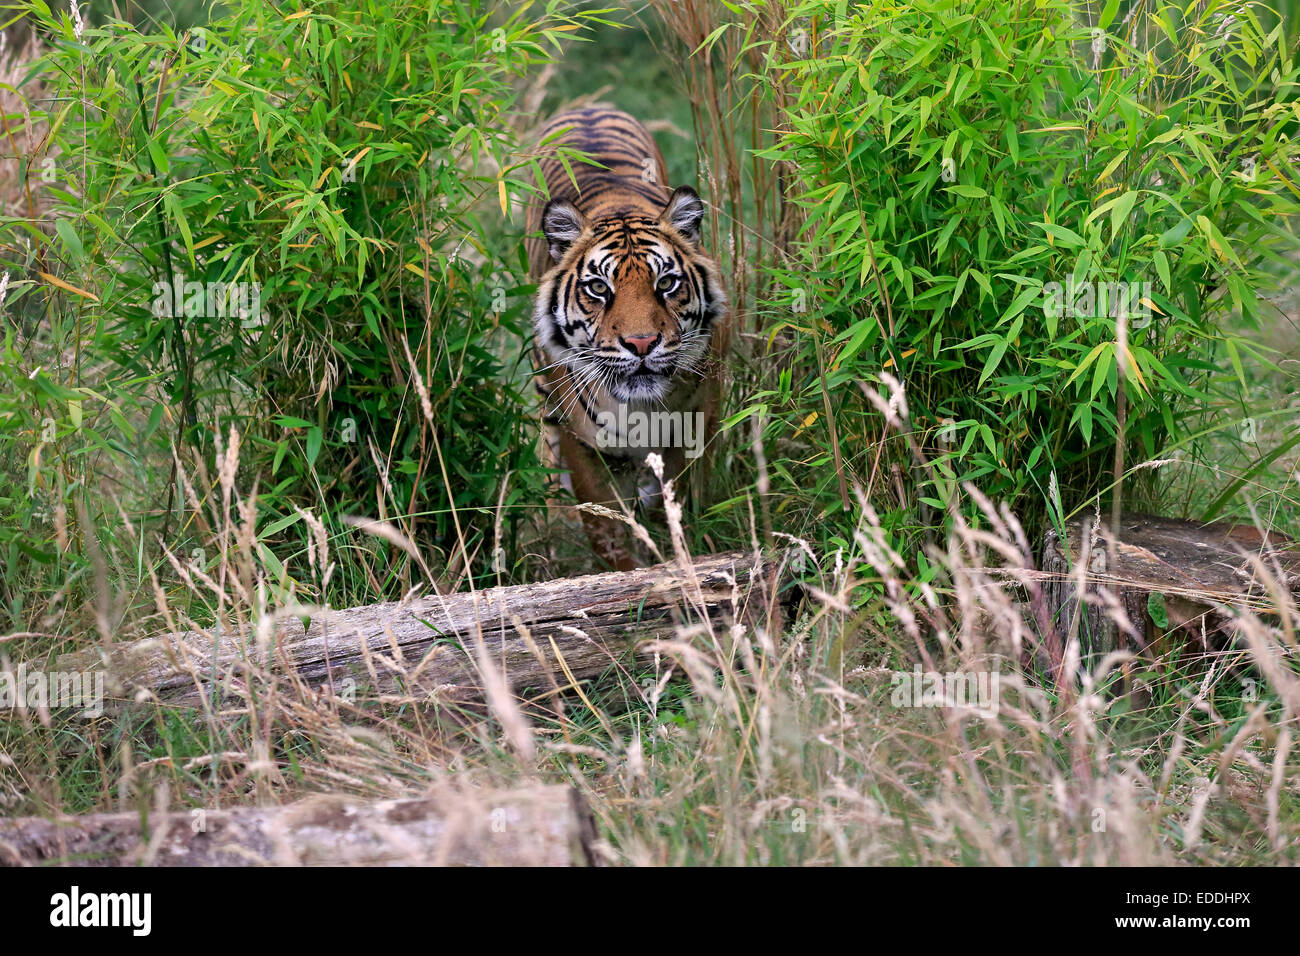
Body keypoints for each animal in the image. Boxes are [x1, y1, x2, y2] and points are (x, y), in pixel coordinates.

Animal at [525, 106, 728, 571]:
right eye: (599, 288)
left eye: (666, 283)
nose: (641, 344)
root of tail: (584, 107)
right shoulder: (581, 440)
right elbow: (605, 526)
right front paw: (629, 573)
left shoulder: (698, 417)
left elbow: (674, 491)